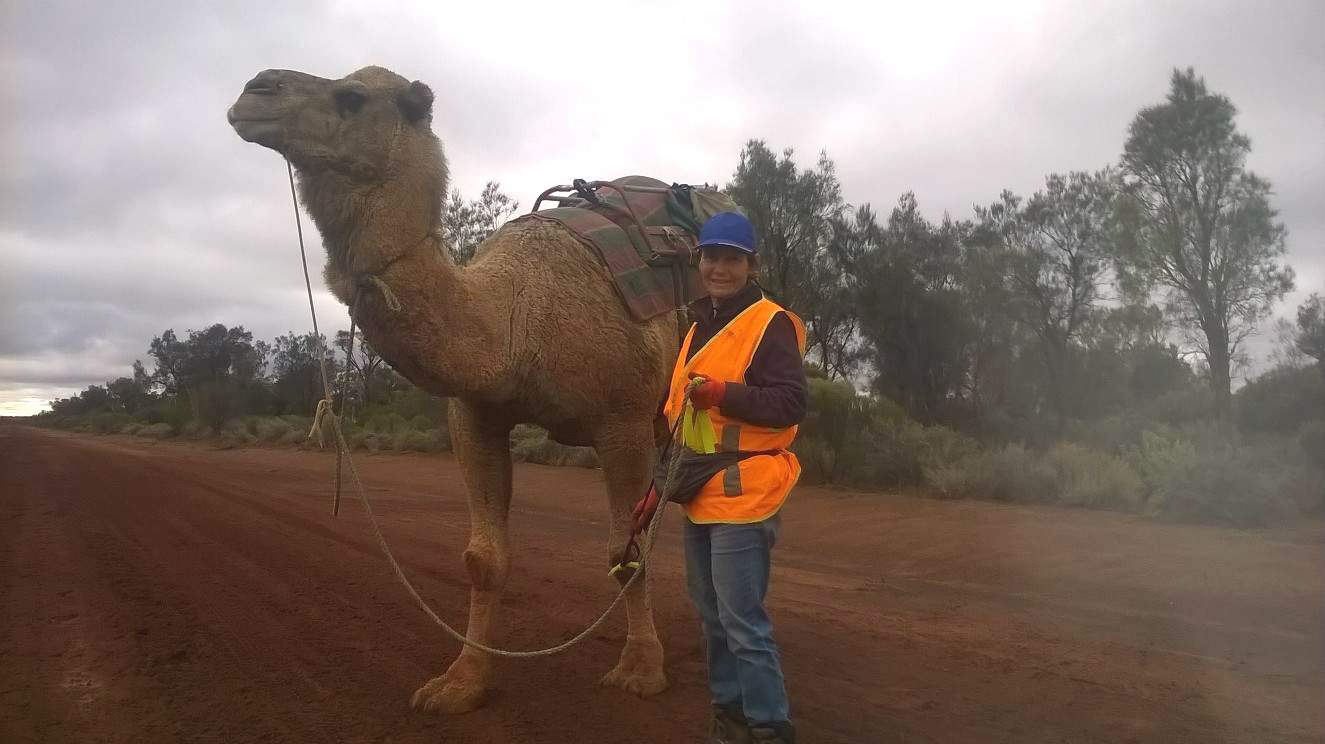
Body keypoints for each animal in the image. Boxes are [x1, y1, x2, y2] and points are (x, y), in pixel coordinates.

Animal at [227, 66, 677, 713]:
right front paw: (461, 682)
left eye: (352, 96)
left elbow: (626, 551)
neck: (514, 322)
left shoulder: (622, 421)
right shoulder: (476, 414)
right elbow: (482, 558)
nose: (256, 89)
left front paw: (641, 669)